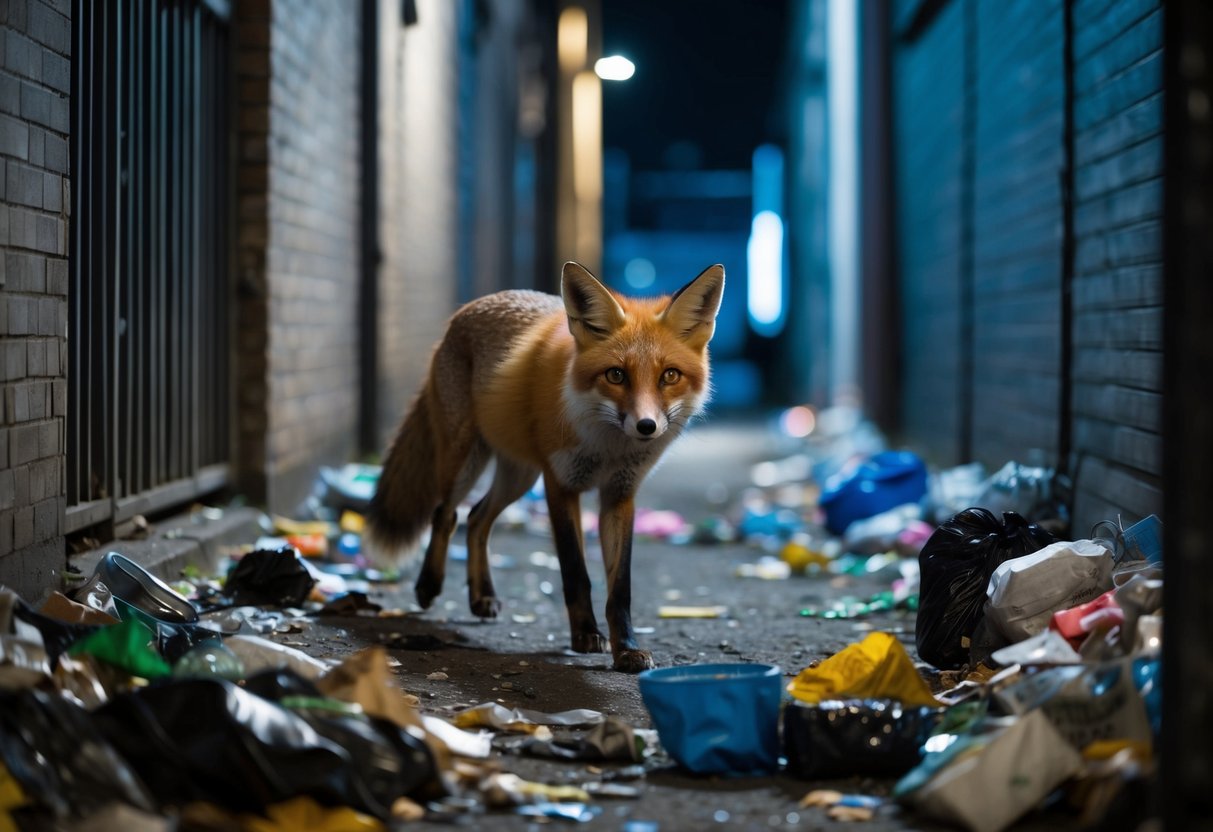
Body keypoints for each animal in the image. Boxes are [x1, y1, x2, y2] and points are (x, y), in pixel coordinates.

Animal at [365, 261, 725, 672]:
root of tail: (466, 310)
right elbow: (575, 572)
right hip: (467, 460)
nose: (646, 426)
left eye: (670, 376)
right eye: (616, 375)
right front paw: (585, 635)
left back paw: (481, 596)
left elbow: (620, 589)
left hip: (519, 475)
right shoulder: (561, 484)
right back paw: (428, 584)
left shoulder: (620, 494)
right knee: (446, 515)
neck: (608, 449)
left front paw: (627, 649)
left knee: (477, 518)